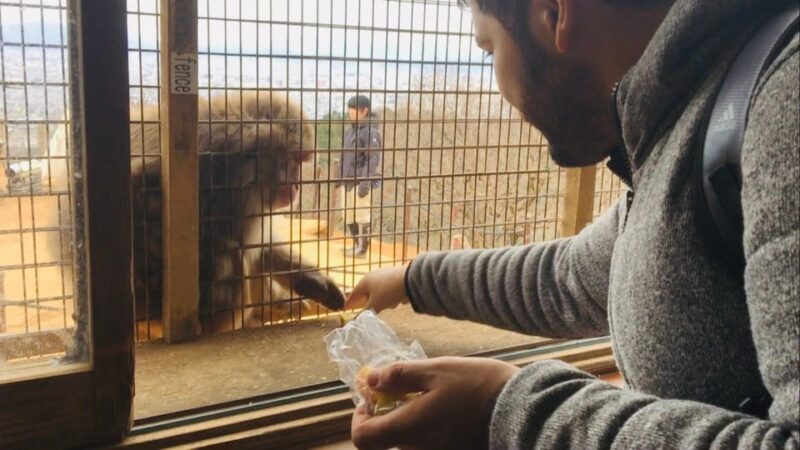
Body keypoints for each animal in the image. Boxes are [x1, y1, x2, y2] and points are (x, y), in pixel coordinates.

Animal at [129, 90, 345, 332]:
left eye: (299, 161)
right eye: (292, 162)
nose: (297, 186)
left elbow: (262, 246)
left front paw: (312, 281)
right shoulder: (219, 176)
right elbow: (139, 185)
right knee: (227, 249)